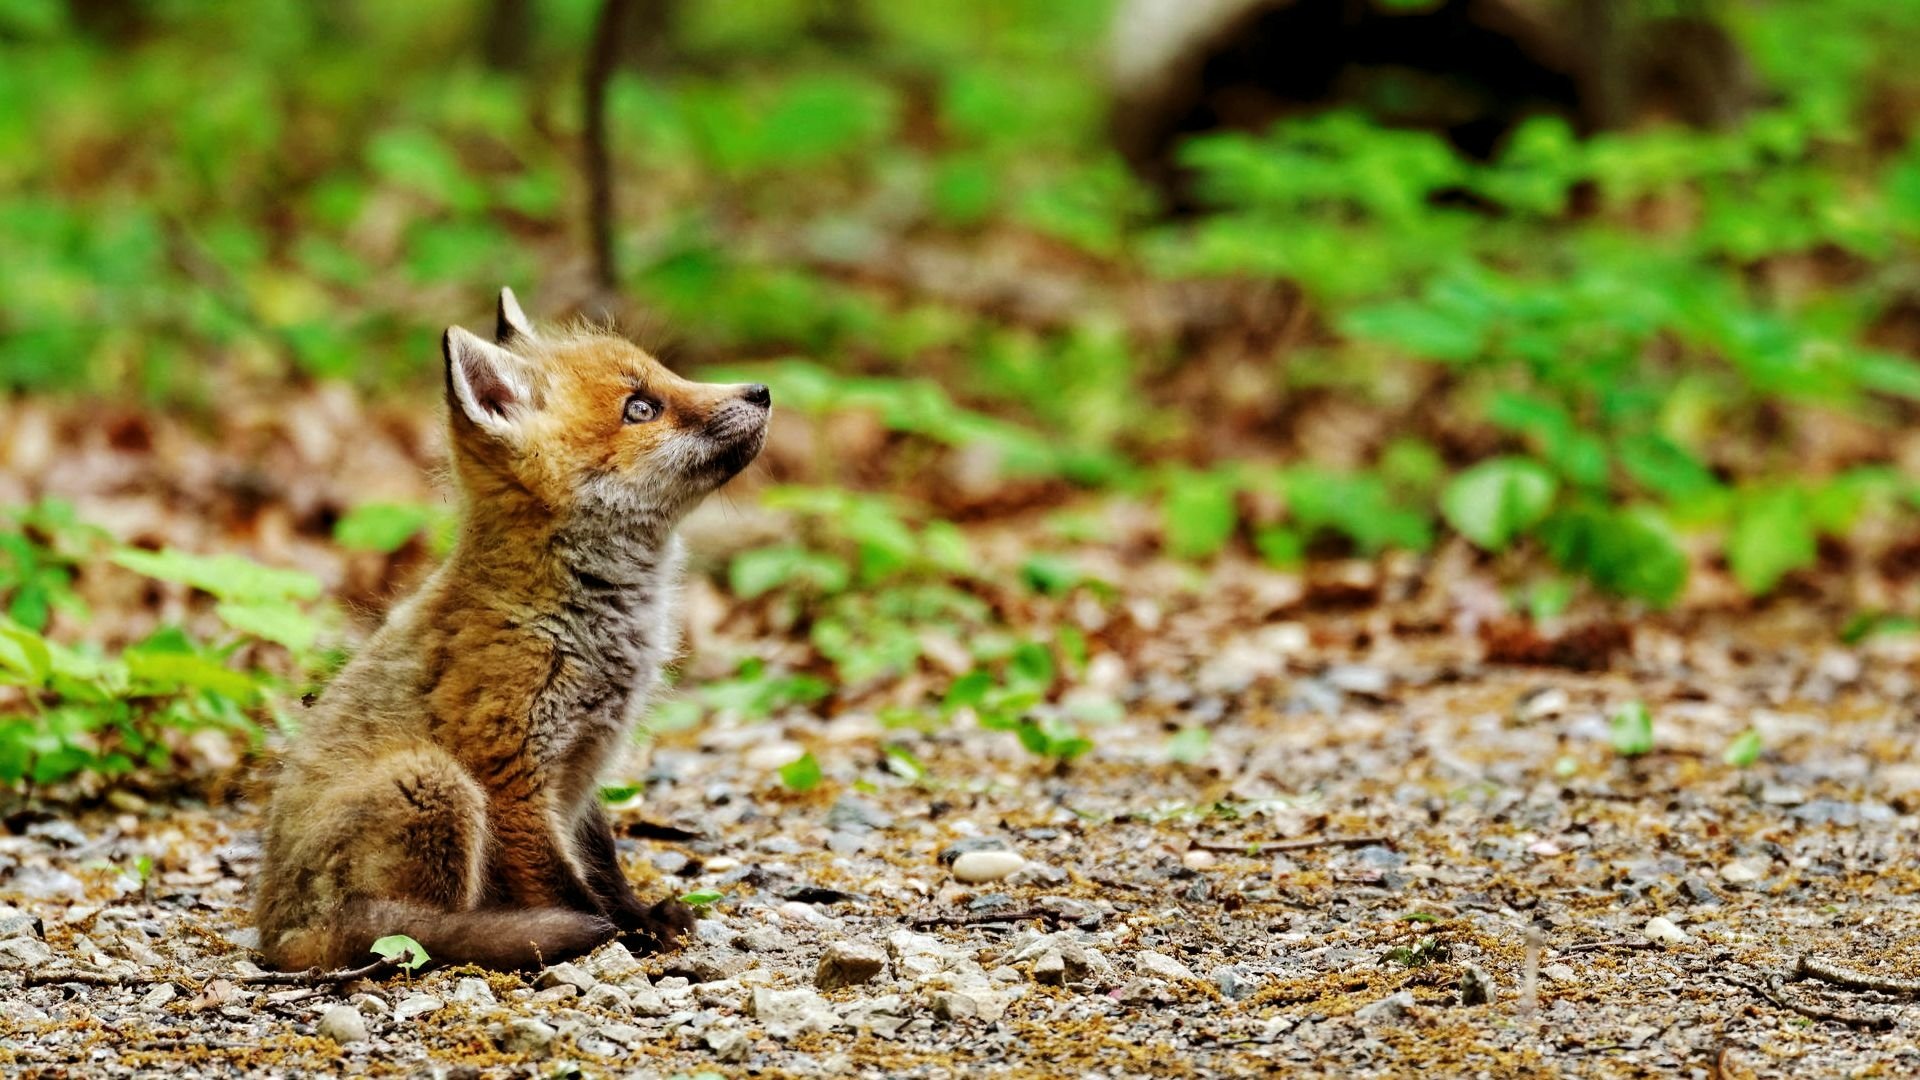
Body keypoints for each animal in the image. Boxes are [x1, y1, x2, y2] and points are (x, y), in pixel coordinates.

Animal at [253, 288, 770, 971]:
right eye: (641, 407)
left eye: (666, 377)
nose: (762, 390)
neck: (571, 624)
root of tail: (274, 936)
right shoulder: (510, 774)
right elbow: (566, 887)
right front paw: (618, 936)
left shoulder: (582, 770)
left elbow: (604, 866)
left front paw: (640, 918)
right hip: (435, 782)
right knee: (400, 935)